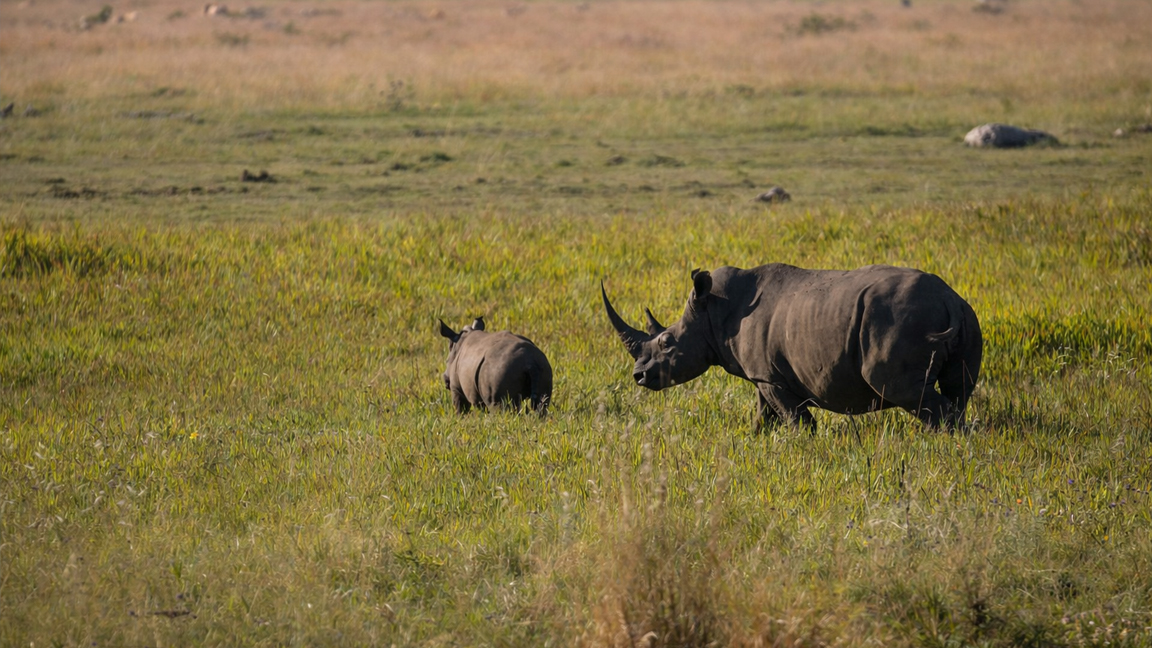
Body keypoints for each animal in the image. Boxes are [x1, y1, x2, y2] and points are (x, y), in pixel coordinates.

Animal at [602, 264, 982, 431]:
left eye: (667, 342)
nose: (638, 376)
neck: (712, 311)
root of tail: (948, 299)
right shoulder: (764, 375)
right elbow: (763, 415)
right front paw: (757, 441)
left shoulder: (773, 378)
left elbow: (798, 421)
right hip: (966, 316)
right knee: (957, 390)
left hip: (897, 320)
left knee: (901, 388)